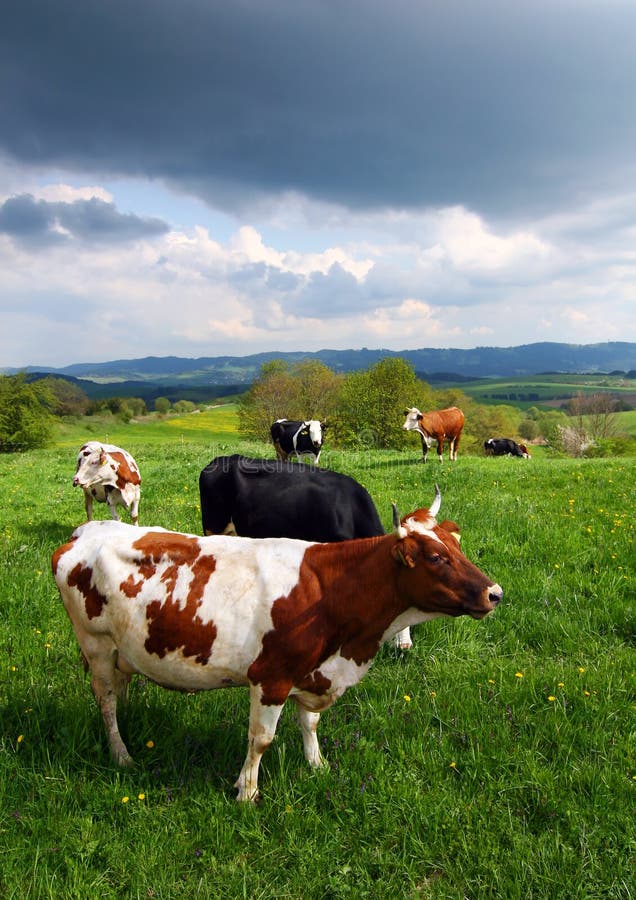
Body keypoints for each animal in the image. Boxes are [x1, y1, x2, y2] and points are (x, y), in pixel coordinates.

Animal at [51, 487, 502, 802]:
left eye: (456, 546)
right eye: (435, 557)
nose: (494, 593)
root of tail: (87, 530)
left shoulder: (314, 670)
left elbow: (311, 723)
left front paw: (318, 766)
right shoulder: (271, 677)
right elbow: (261, 739)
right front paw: (247, 792)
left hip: (122, 648)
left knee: (121, 690)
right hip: (95, 645)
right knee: (106, 700)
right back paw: (121, 754)